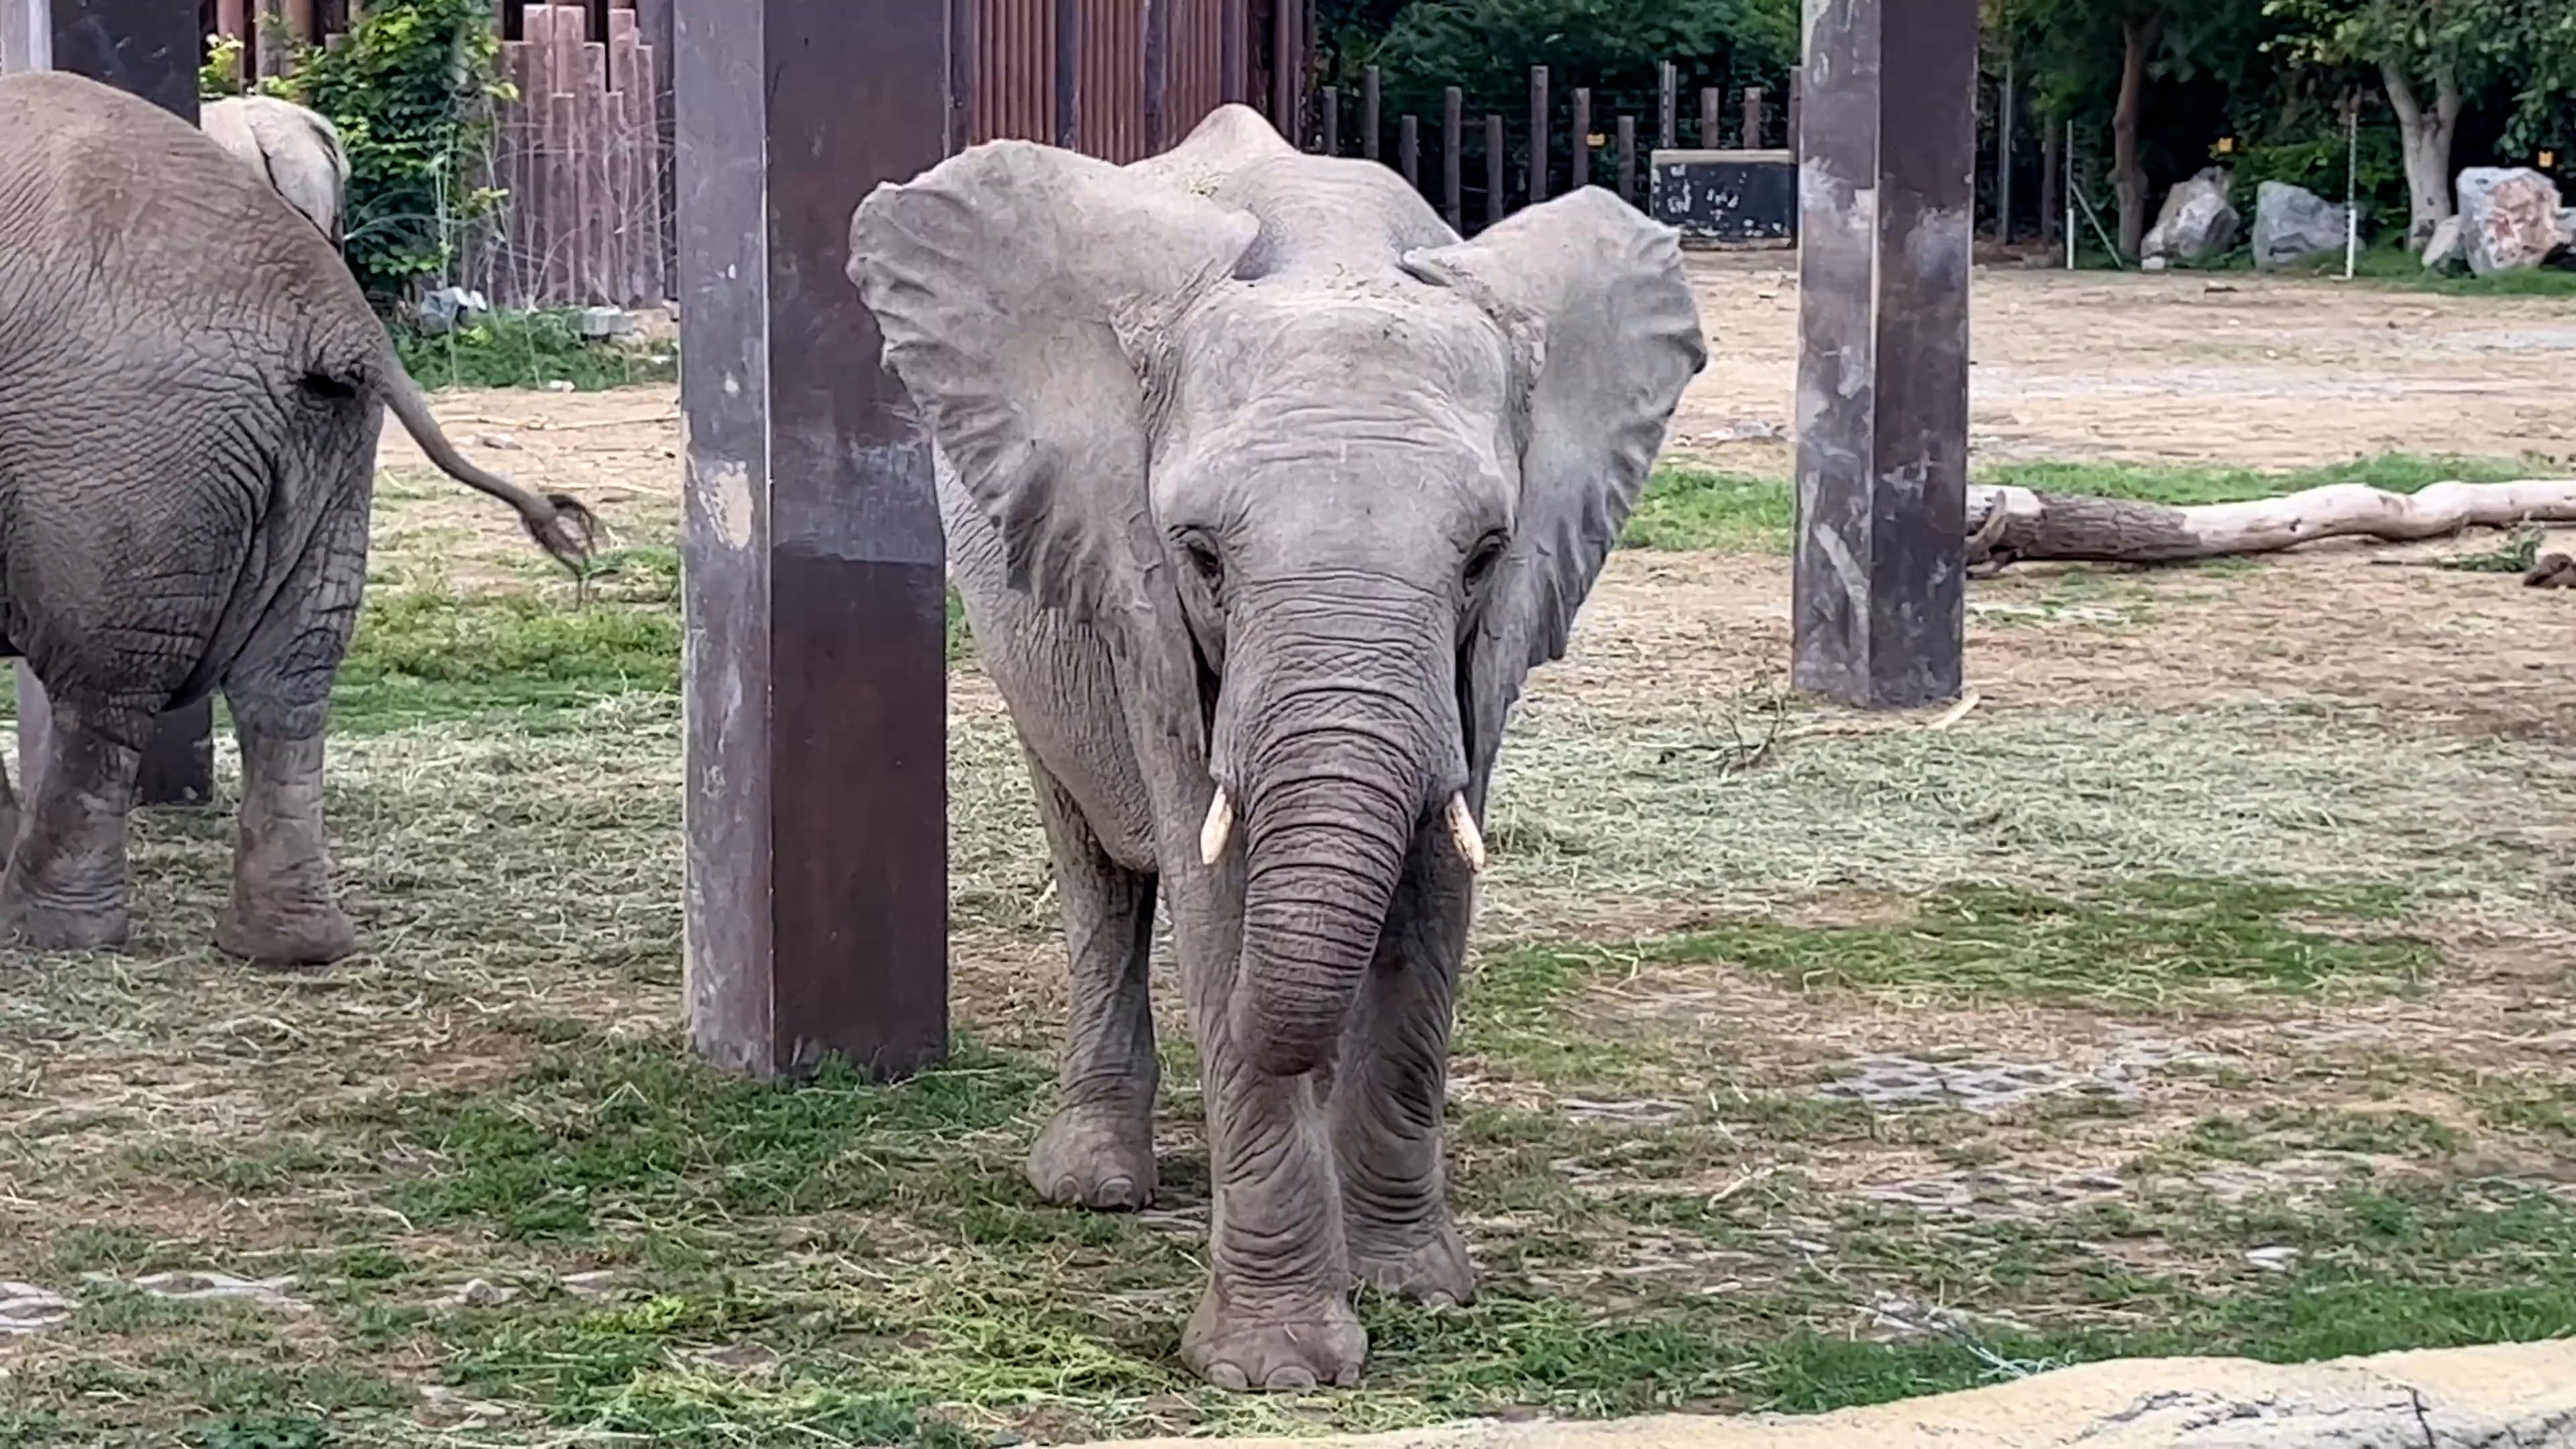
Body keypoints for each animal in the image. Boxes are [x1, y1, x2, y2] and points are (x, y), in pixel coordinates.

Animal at [845, 105, 1704, 1390]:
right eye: (1201, 555)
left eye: (1484, 557)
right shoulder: (1136, 596)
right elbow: (1215, 892)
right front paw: (1277, 1370)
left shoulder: (1485, 653)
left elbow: (1435, 893)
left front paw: (1412, 1290)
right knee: (1098, 873)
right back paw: (1094, 1183)